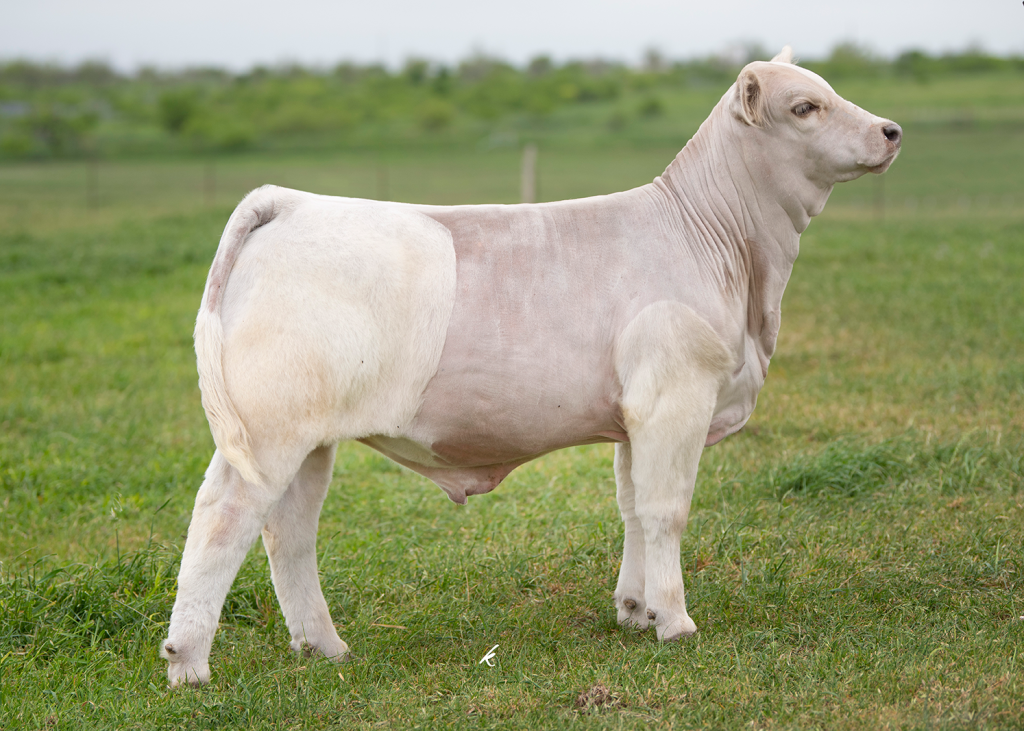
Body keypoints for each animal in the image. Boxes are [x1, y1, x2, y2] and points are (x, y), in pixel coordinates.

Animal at [162, 47, 901, 686]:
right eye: (805, 106)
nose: (891, 130)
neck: (738, 266)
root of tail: (290, 201)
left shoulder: (633, 417)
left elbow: (632, 506)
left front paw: (635, 611)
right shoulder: (675, 397)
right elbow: (666, 509)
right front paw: (675, 620)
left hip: (309, 437)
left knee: (289, 529)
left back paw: (324, 646)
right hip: (268, 429)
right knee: (224, 516)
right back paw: (189, 663)